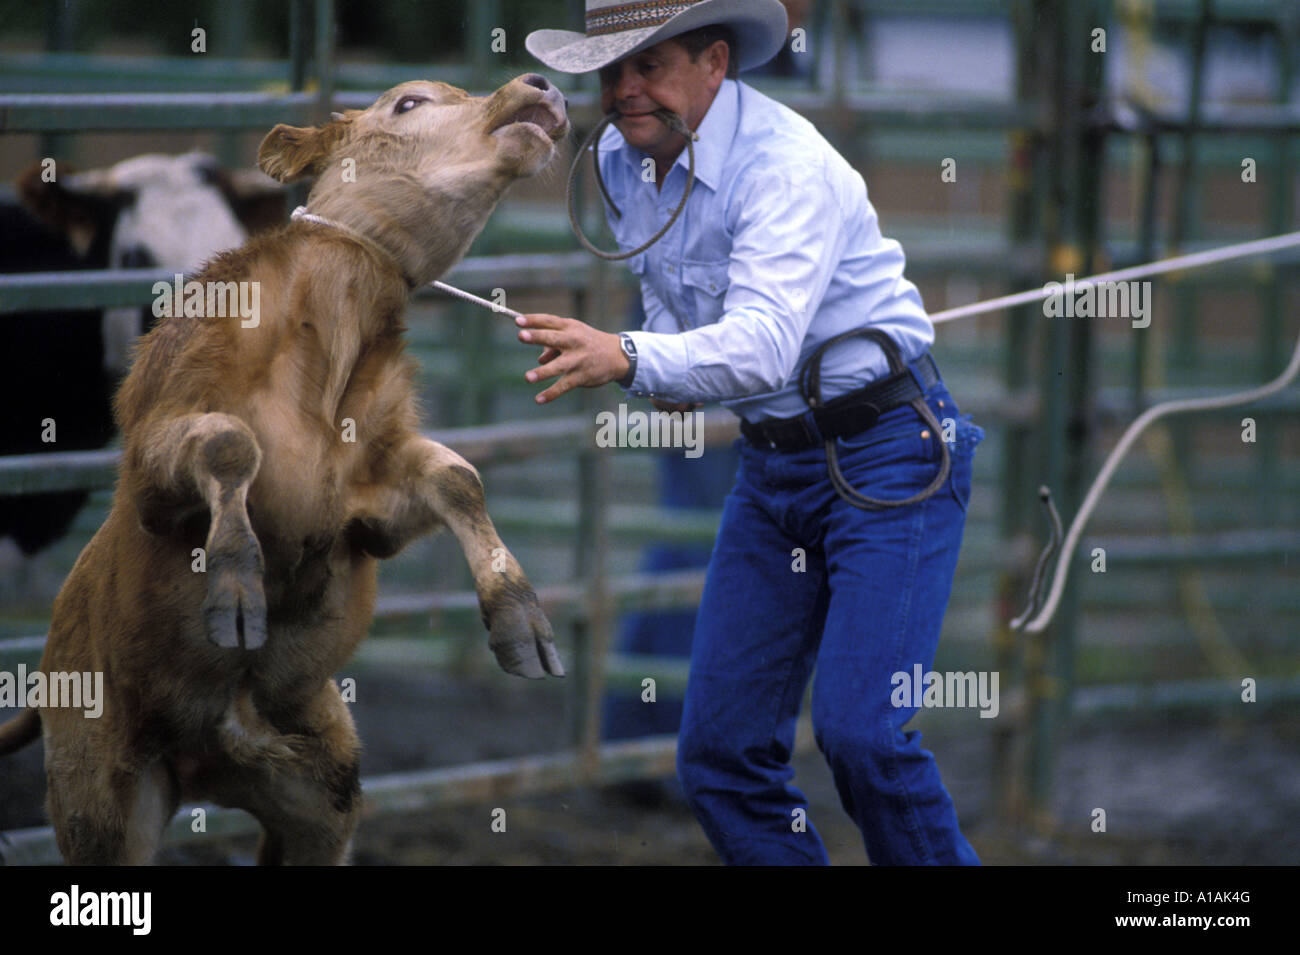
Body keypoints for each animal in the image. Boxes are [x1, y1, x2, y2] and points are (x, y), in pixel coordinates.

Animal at [0, 74, 570, 865]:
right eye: (409, 102)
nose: (536, 84)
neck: (328, 338)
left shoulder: (373, 511)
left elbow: (458, 477)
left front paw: (521, 618)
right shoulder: (153, 462)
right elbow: (229, 442)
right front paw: (237, 584)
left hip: (320, 790)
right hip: (102, 800)